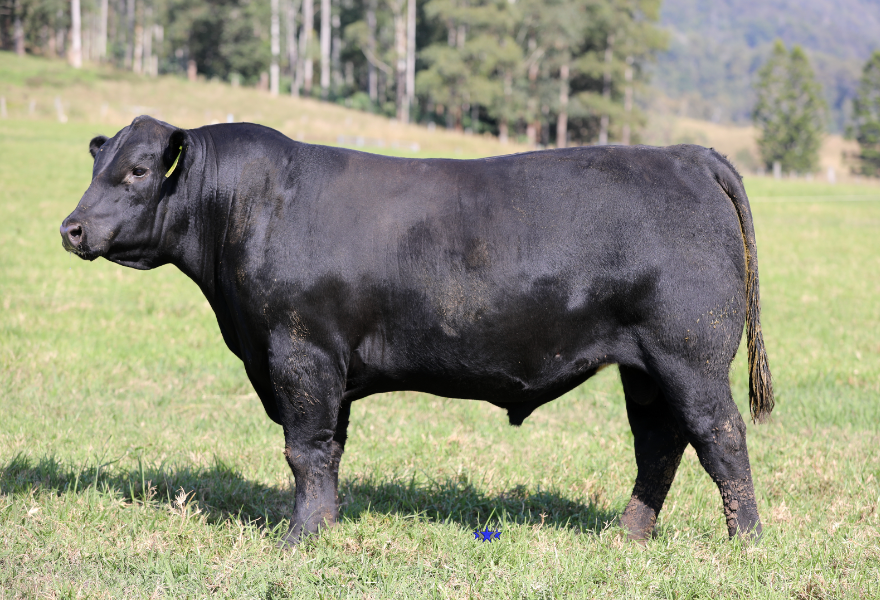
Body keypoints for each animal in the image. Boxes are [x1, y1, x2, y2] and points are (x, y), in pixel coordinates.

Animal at [60, 116, 774, 546]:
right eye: (98, 166)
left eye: (138, 170)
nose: (72, 228)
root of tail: (683, 154)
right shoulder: (327, 365)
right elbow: (330, 450)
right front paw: (326, 529)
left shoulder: (299, 352)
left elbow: (304, 449)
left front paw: (299, 540)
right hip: (644, 368)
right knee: (659, 446)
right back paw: (629, 535)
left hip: (690, 356)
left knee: (721, 440)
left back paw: (745, 543)